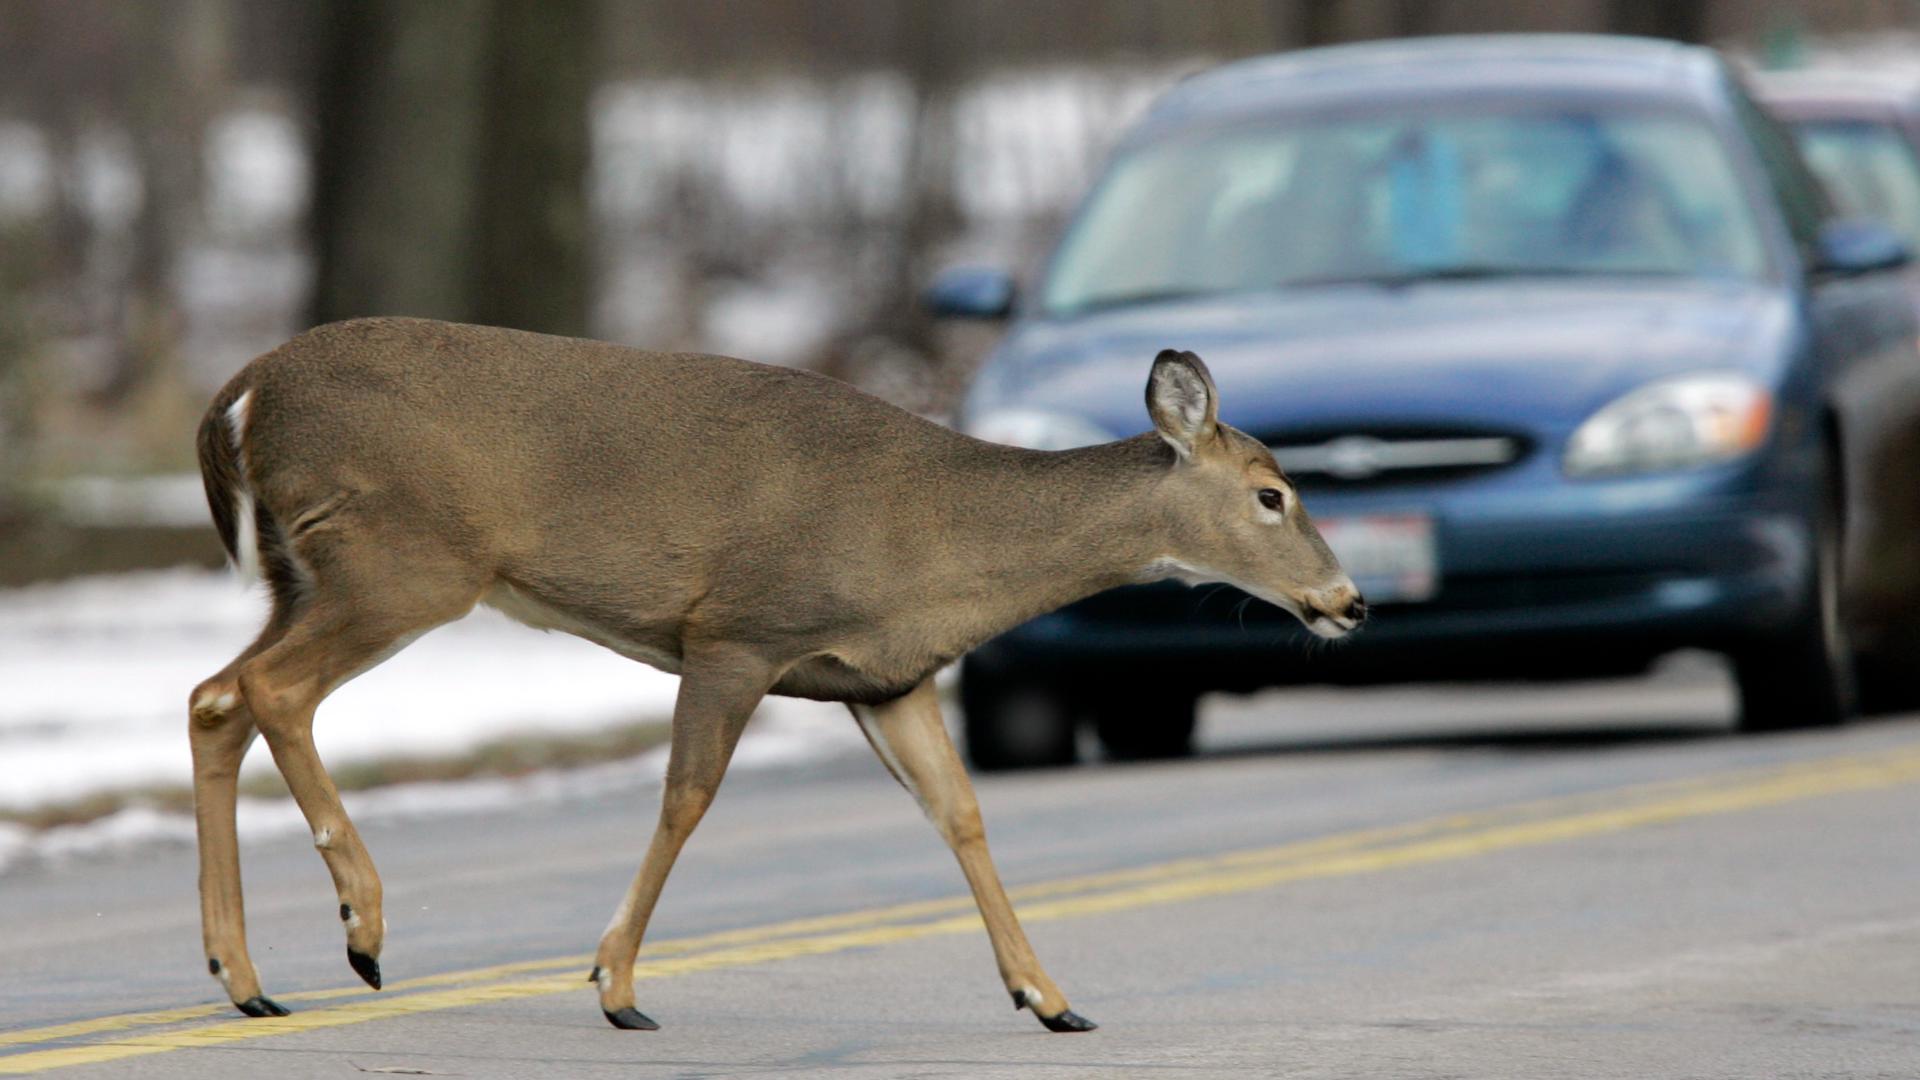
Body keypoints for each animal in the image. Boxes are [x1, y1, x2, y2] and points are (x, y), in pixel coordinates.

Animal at [187, 317, 1364, 1033]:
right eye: (1271, 495)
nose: (1349, 601)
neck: (935, 543)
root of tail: (243, 391)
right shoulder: (737, 633)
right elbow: (687, 798)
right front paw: (615, 985)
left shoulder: (885, 679)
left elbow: (962, 814)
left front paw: (1049, 995)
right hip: (401, 559)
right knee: (272, 692)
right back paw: (362, 926)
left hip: (311, 575)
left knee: (215, 697)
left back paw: (243, 979)